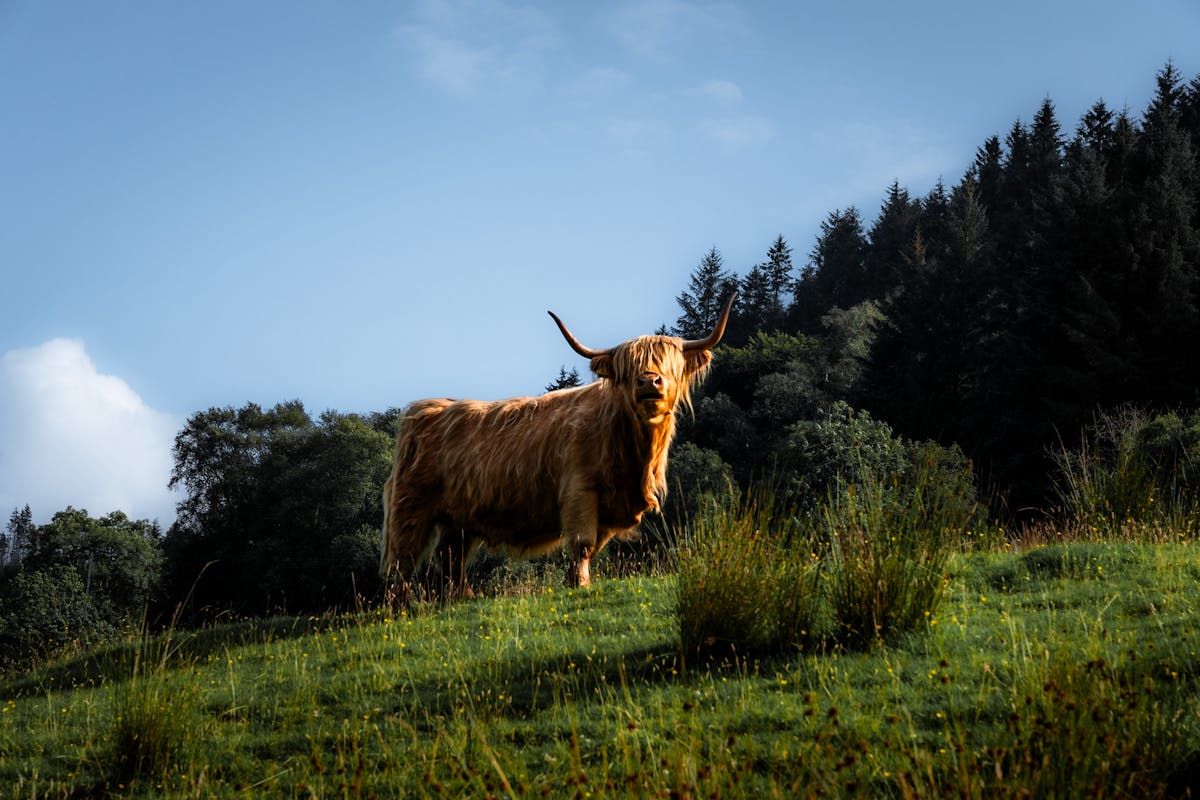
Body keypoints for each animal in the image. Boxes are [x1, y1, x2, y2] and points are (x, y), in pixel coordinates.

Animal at [379, 294, 736, 601]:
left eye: (669, 364)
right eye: (628, 369)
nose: (649, 381)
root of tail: (425, 409)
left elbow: (593, 545)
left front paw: (573, 579)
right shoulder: (580, 490)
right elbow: (582, 542)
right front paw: (579, 583)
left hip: (459, 517)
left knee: (451, 556)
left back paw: (463, 598)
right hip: (411, 507)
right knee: (405, 559)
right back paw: (399, 605)